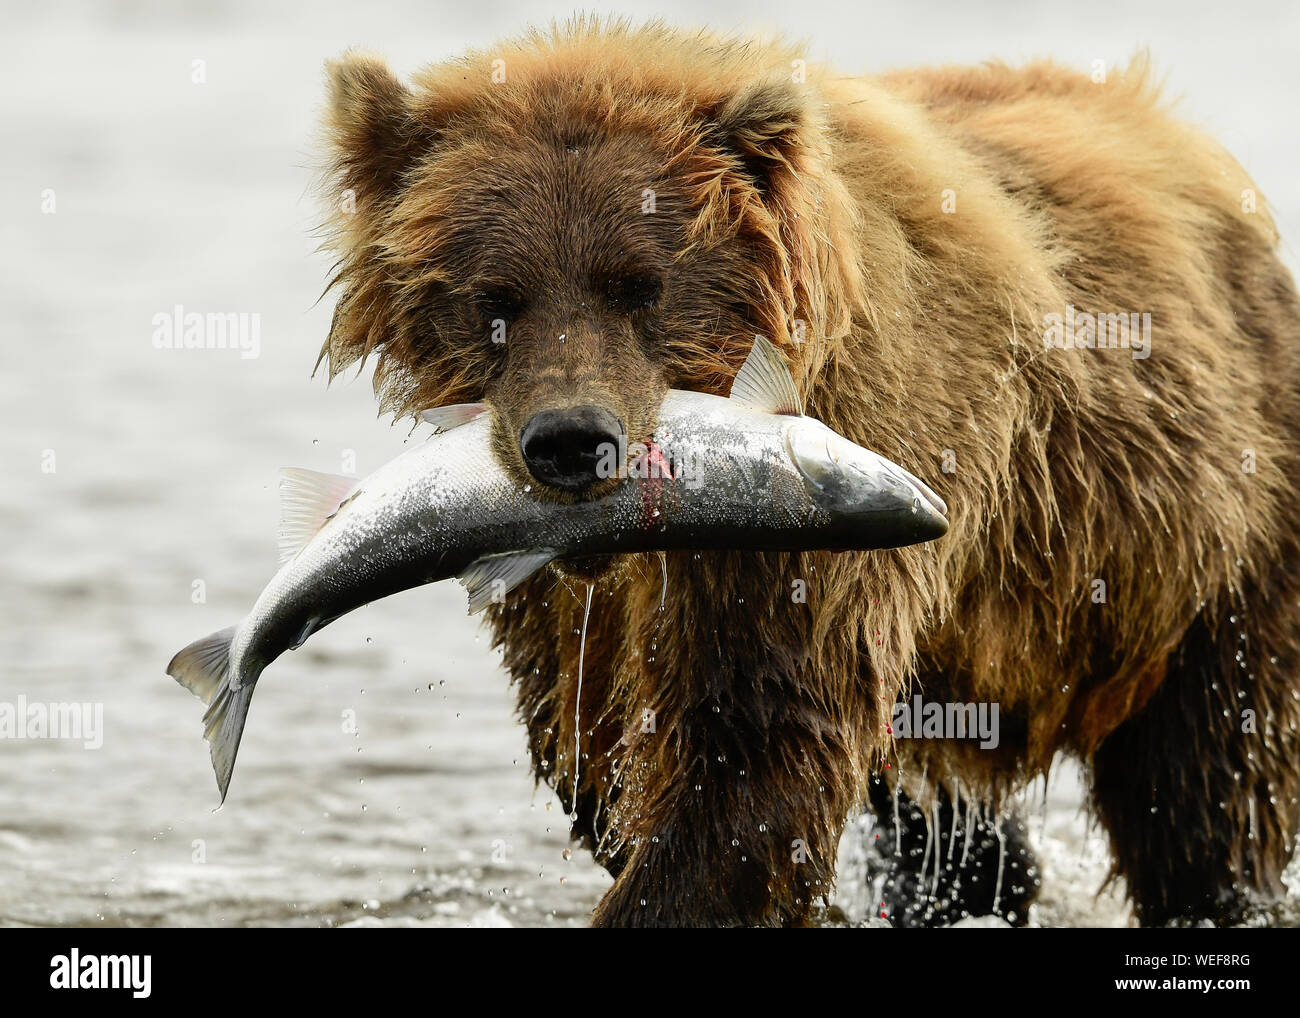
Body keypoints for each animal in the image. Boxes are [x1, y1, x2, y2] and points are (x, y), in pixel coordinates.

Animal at [316, 18, 1300, 927]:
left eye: (641, 286)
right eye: (496, 299)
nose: (570, 441)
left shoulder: (840, 484)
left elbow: (756, 742)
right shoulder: (564, 599)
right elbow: (593, 748)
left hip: (1204, 532)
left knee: (1210, 769)